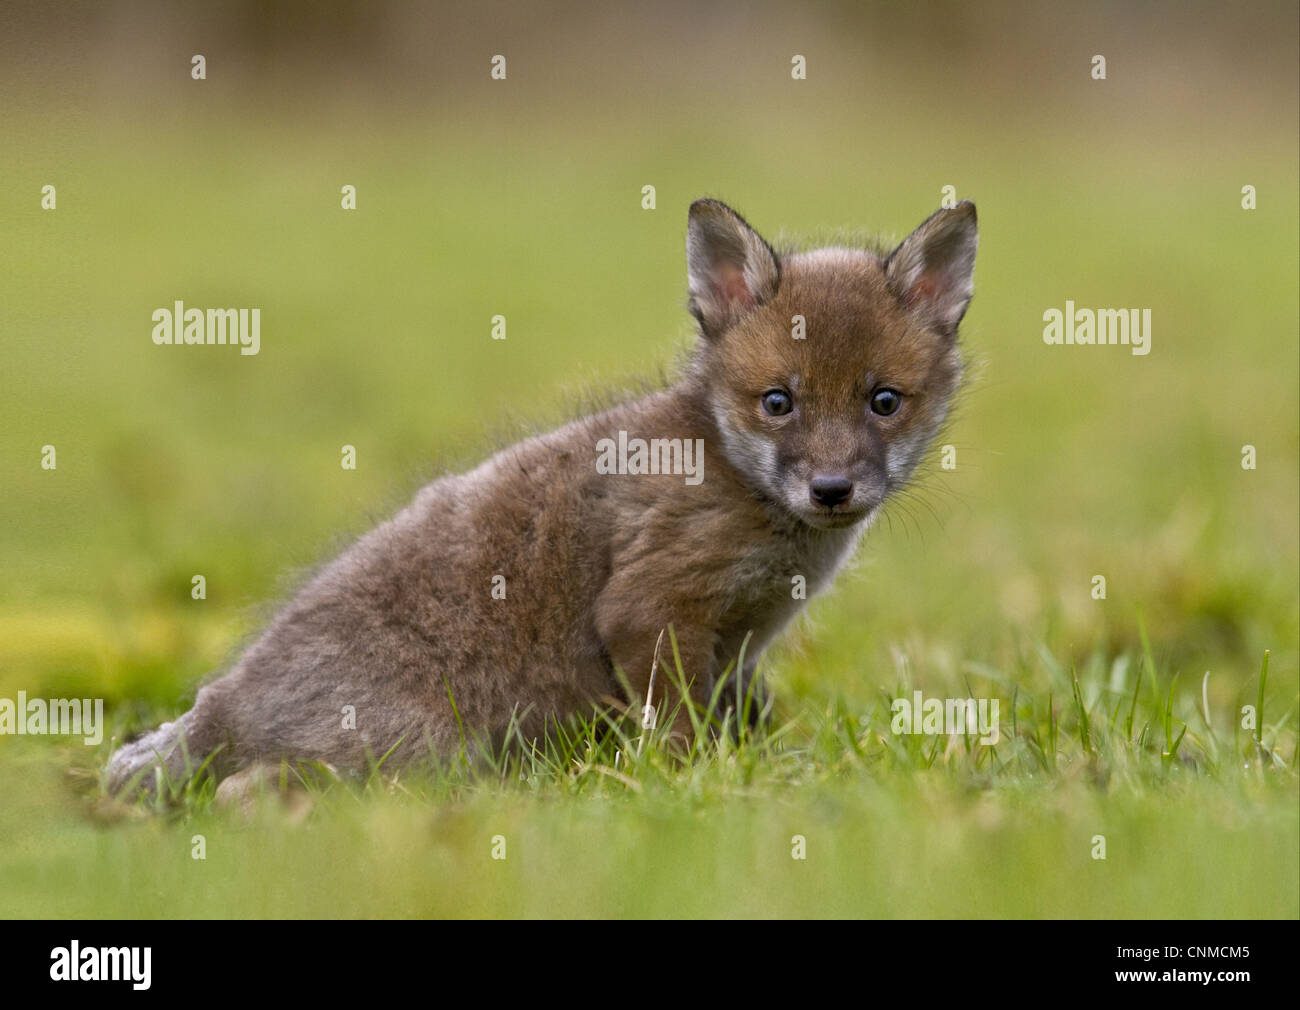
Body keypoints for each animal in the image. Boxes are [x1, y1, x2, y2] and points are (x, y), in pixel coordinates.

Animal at [106, 197, 978, 799]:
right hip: (418, 758)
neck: (736, 482)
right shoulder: (649, 610)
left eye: (884, 402)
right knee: (244, 791)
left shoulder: (736, 651)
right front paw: (689, 794)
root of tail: (225, 698)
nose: (832, 489)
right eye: (778, 402)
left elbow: (737, 722)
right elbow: (679, 739)